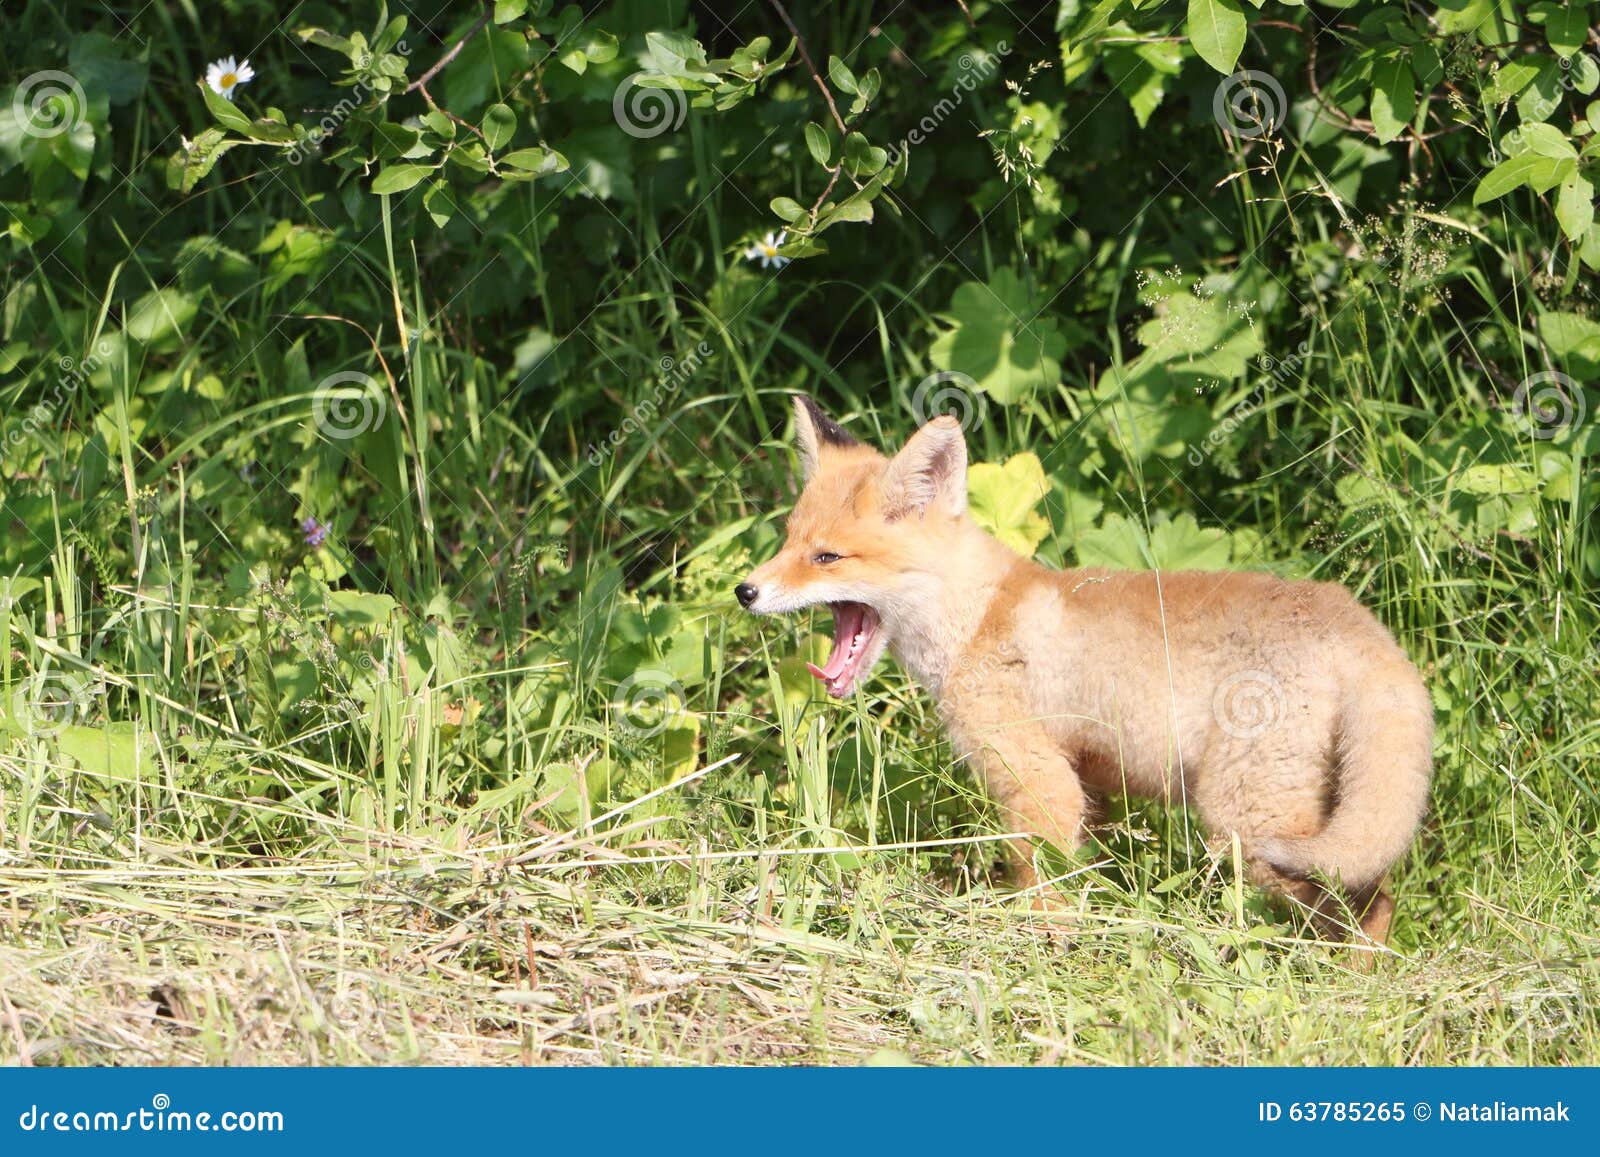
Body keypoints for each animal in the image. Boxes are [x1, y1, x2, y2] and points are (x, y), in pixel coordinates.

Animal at [736, 396, 1434, 945]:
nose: (745, 591)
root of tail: (1359, 623)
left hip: (1246, 823)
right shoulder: (1090, 777)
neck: (978, 615)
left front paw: (1046, 948)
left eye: (828, 557)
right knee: (1370, 895)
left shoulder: (1038, 777)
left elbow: (1038, 880)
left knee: (1365, 900)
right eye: (788, 540)